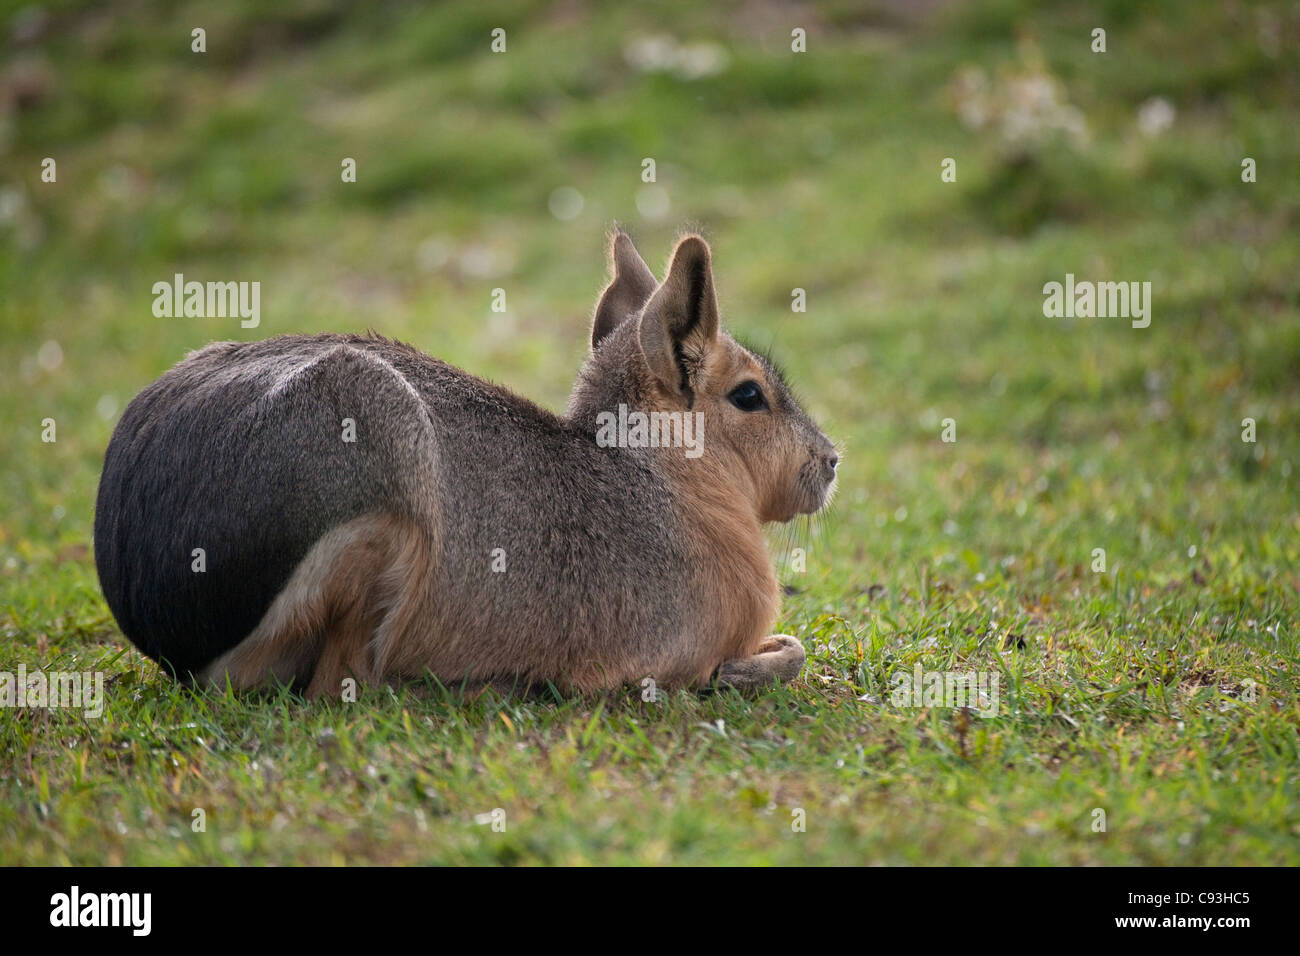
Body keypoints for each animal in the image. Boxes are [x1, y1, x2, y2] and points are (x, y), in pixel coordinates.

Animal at [93, 231, 839, 698]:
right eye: (750, 395)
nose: (831, 461)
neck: (665, 486)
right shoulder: (655, 658)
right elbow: (786, 655)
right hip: (382, 431)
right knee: (336, 683)